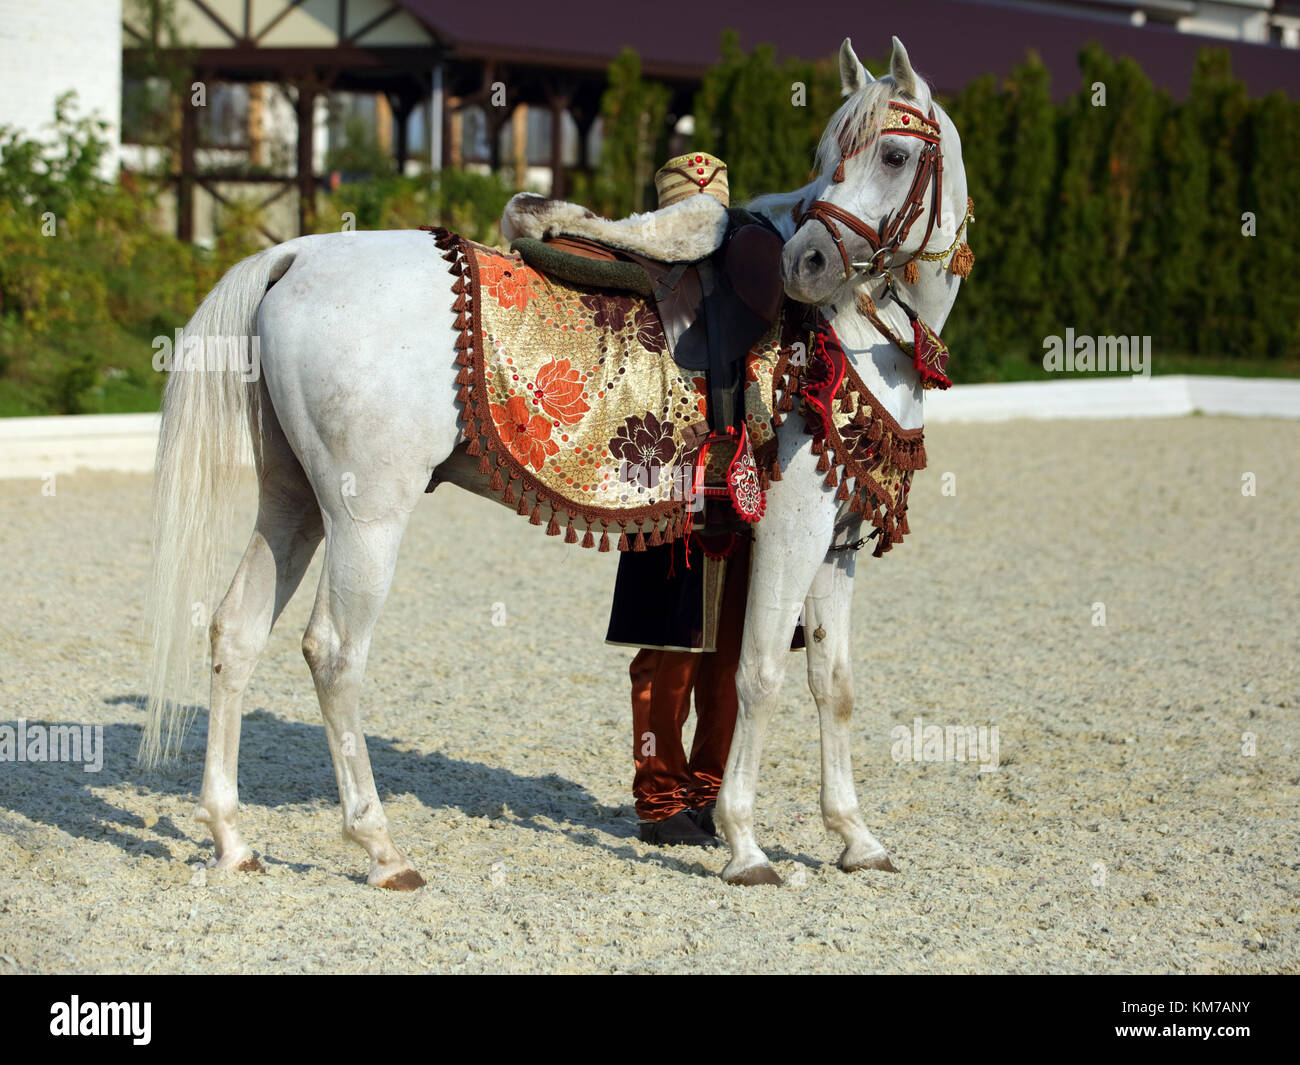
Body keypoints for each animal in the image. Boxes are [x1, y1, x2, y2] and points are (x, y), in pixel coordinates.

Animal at [147, 35, 972, 889]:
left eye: (894, 153)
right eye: (828, 154)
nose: (805, 264)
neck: (852, 330)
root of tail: (297, 255)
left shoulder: (837, 543)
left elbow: (833, 685)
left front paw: (856, 837)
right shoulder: (792, 530)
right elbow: (761, 673)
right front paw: (744, 844)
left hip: (294, 503)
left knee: (236, 629)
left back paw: (231, 838)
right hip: (364, 515)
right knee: (335, 653)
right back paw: (380, 847)